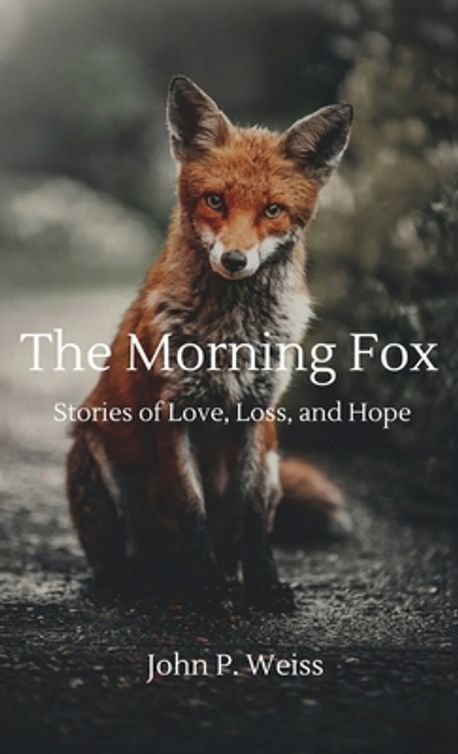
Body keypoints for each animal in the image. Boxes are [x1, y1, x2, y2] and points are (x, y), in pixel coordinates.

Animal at [67, 76, 353, 610]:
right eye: (215, 200)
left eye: (272, 210)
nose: (235, 260)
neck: (231, 333)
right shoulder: (172, 412)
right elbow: (190, 510)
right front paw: (206, 590)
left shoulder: (257, 416)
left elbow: (253, 519)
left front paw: (263, 585)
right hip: (94, 455)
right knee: (118, 558)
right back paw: (136, 580)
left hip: (275, 463)